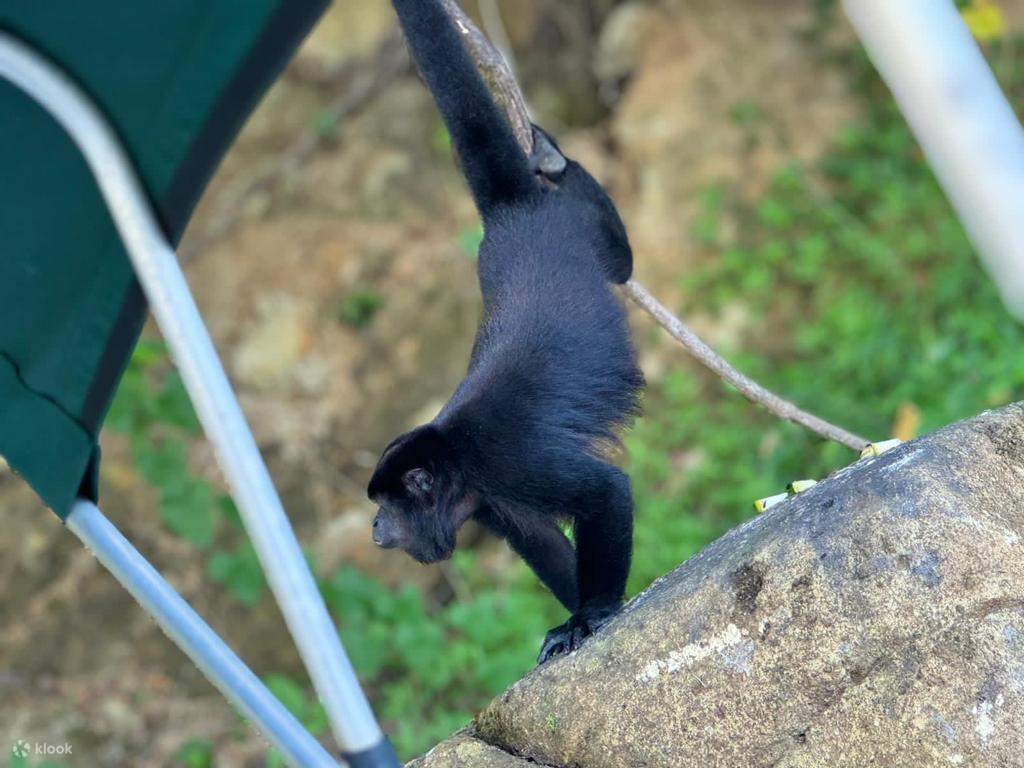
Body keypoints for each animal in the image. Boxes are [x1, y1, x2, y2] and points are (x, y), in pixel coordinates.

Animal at [368, 0, 643, 664]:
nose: (374, 527)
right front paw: (571, 615)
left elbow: (605, 493)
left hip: (581, 231)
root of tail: (513, 211)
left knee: (621, 260)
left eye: (388, 503)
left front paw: (591, 614)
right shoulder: (487, 499)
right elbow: (536, 536)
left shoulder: (508, 462)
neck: (453, 460)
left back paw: (556, 163)